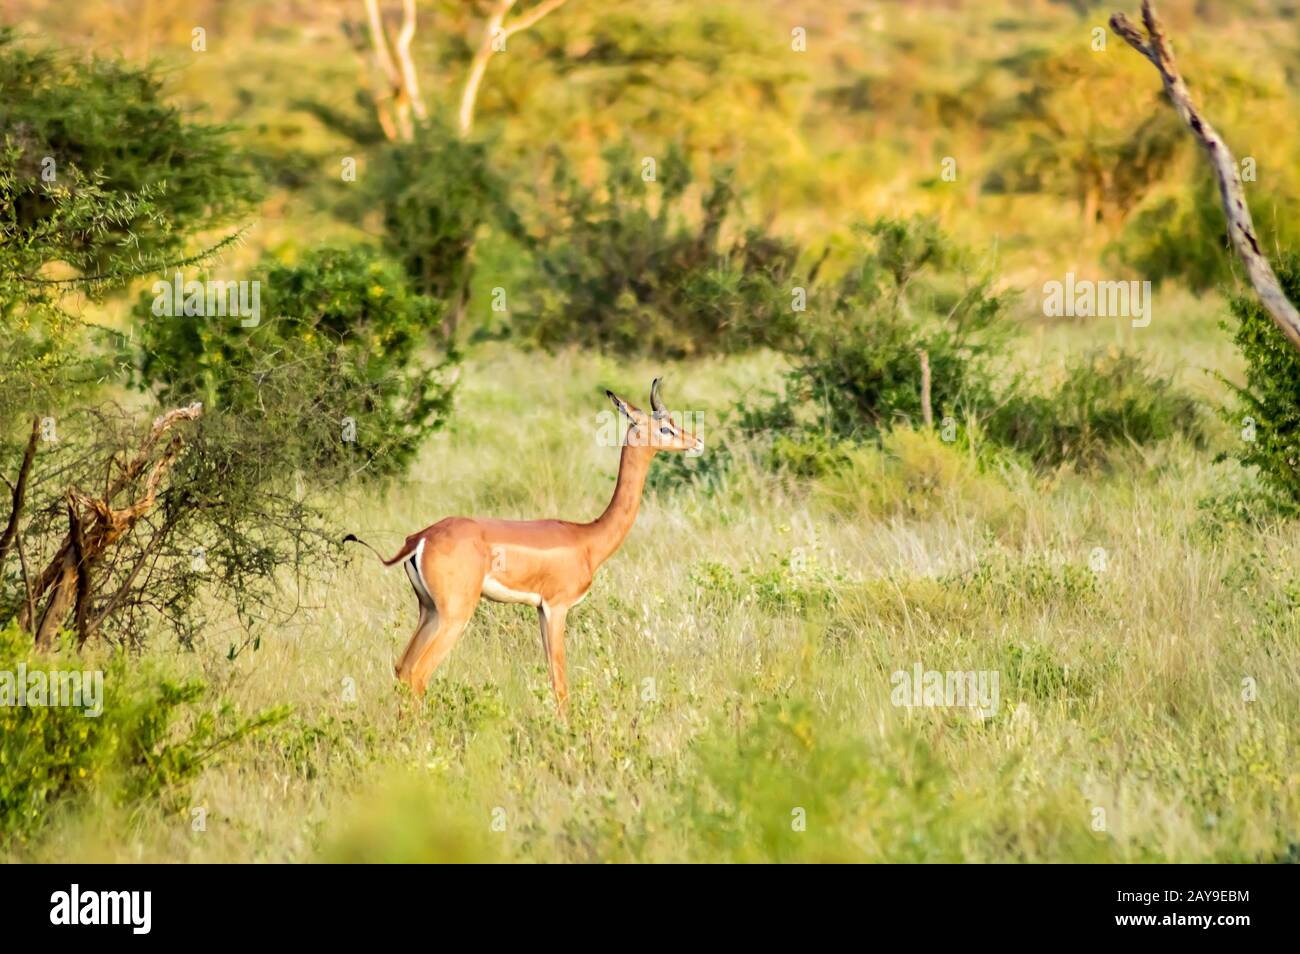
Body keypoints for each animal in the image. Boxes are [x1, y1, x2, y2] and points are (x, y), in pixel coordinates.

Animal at [345, 378, 701, 715]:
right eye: (665, 426)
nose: (696, 441)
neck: (587, 540)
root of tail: (421, 538)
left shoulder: (541, 610)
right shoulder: (557, 608)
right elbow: (560, 683)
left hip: (429, 610)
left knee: (402, 669)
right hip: (455, 615)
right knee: (418, 674)